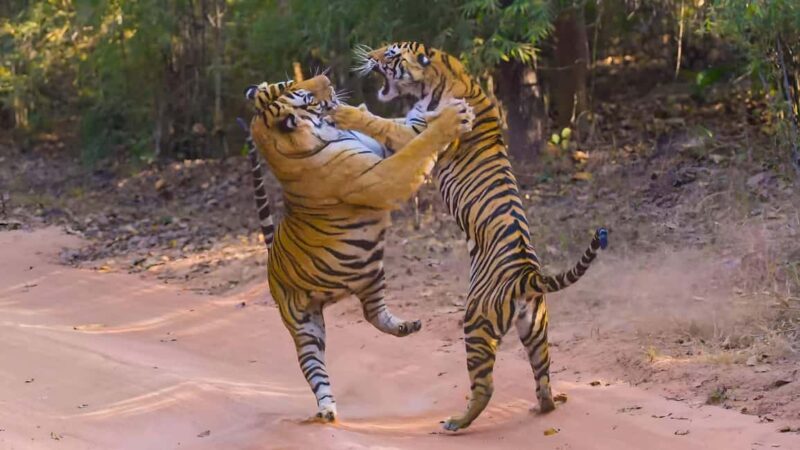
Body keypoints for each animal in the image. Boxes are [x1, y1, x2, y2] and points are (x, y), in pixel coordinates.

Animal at [239, 74, 475, 422]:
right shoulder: (383, 176)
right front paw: (452, 118)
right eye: (307, 96)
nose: (326, 78)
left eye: (290, 84)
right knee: (315, 370)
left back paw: (406, 326)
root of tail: (270, 258)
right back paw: (327, 410)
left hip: (371, 274)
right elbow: (418, 147)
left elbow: (402, 132)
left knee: (373, 314)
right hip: (305, 327)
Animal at [331, 42, 609, 431]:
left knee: (484, 387)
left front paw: (344, 111)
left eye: (390, 53)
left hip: (476, 323)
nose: (369, 56)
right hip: (536, 329)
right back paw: (544, 406)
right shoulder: (410, 128)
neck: (441, 77)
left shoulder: (417, 133)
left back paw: (456, 423)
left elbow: (380, 123)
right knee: (543, 376)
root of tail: (527, 276)